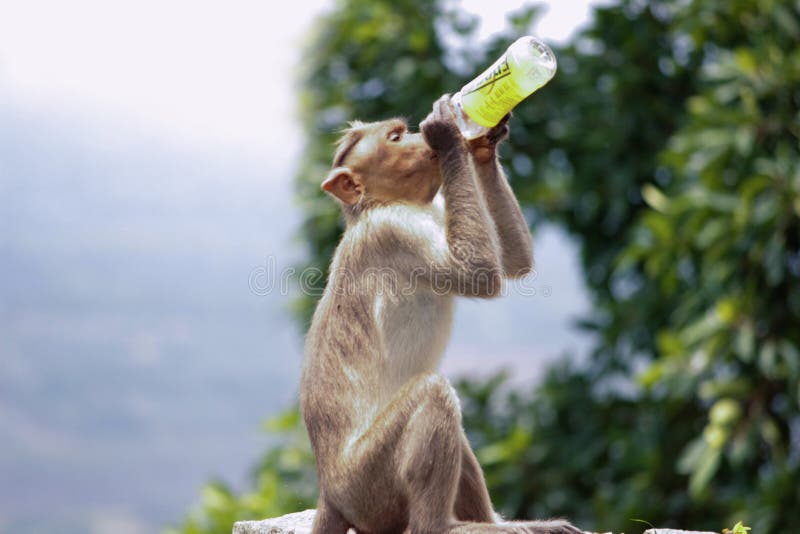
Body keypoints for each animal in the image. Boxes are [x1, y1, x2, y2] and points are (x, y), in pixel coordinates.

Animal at [299, 95, 582, 534]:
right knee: (432, 392)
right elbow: (478, 274)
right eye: (397, 137)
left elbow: (513, 262)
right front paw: (449, 132)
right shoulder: (396, 232)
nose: (419, 135)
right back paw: (444, 525)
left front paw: (485, 141)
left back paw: (503, 523)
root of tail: (329, 490)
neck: (388, 203)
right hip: (367, 484)